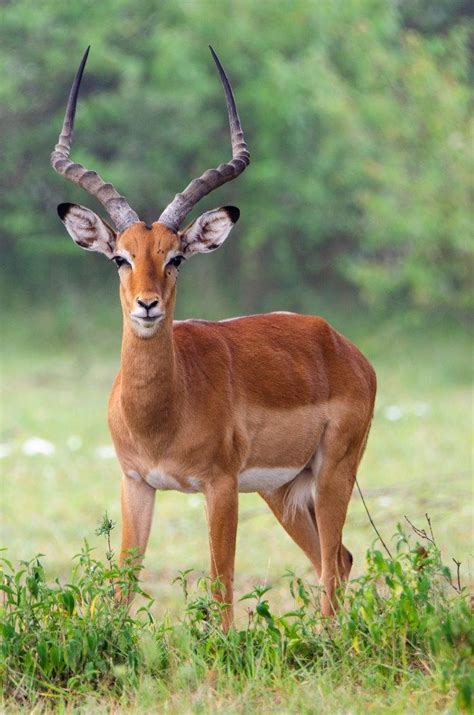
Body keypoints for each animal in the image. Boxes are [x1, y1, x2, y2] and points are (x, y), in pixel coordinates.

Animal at [51, 46, 376, 630]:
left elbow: (220, 586)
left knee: (333, 564)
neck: (163, 413)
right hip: (284, 490)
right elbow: (123, 585)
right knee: (336, 557)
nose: (148, 305)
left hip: (332, 474)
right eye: (120, 257)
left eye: (176, 257)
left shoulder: (221, 486)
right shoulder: (136, 482)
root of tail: (343, 346)